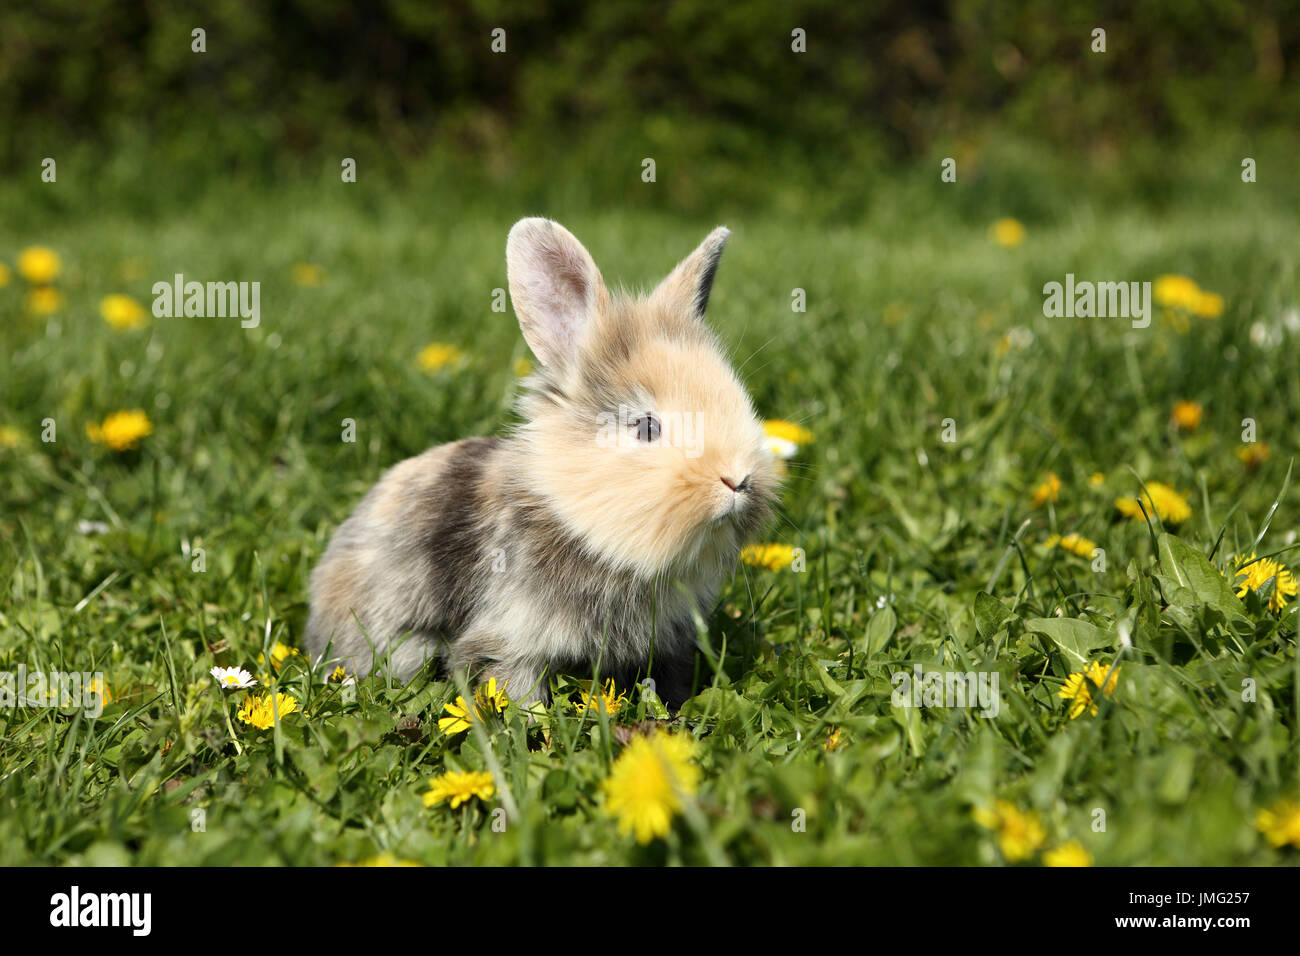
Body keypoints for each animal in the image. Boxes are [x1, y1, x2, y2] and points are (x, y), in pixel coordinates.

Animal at [305, 218, 777, 708]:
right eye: (647, 428)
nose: (738, 480)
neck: (578, 521)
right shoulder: (509, 639)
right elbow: (518, 689)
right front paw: (532, 720)